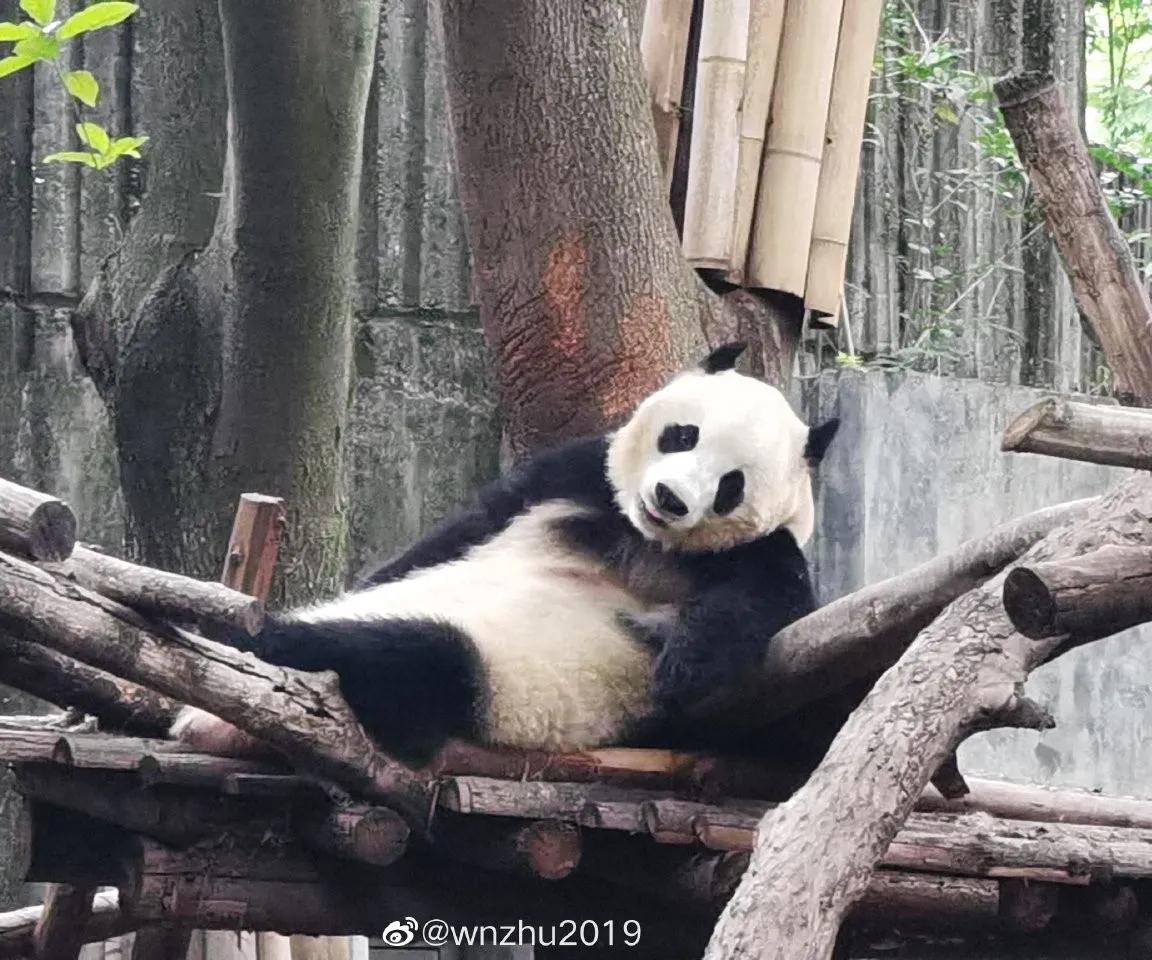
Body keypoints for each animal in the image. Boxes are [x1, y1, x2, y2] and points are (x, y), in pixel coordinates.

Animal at [172, 343, 839, 765]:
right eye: (682, 435)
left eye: (731, 485)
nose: (671, 499)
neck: (643, 536)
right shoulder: (574, 478)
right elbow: (469, 523)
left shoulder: (761, 550)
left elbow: (763, 604)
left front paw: (684, 663)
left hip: (483, 675)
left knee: (400, 655)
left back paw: (257, 644)